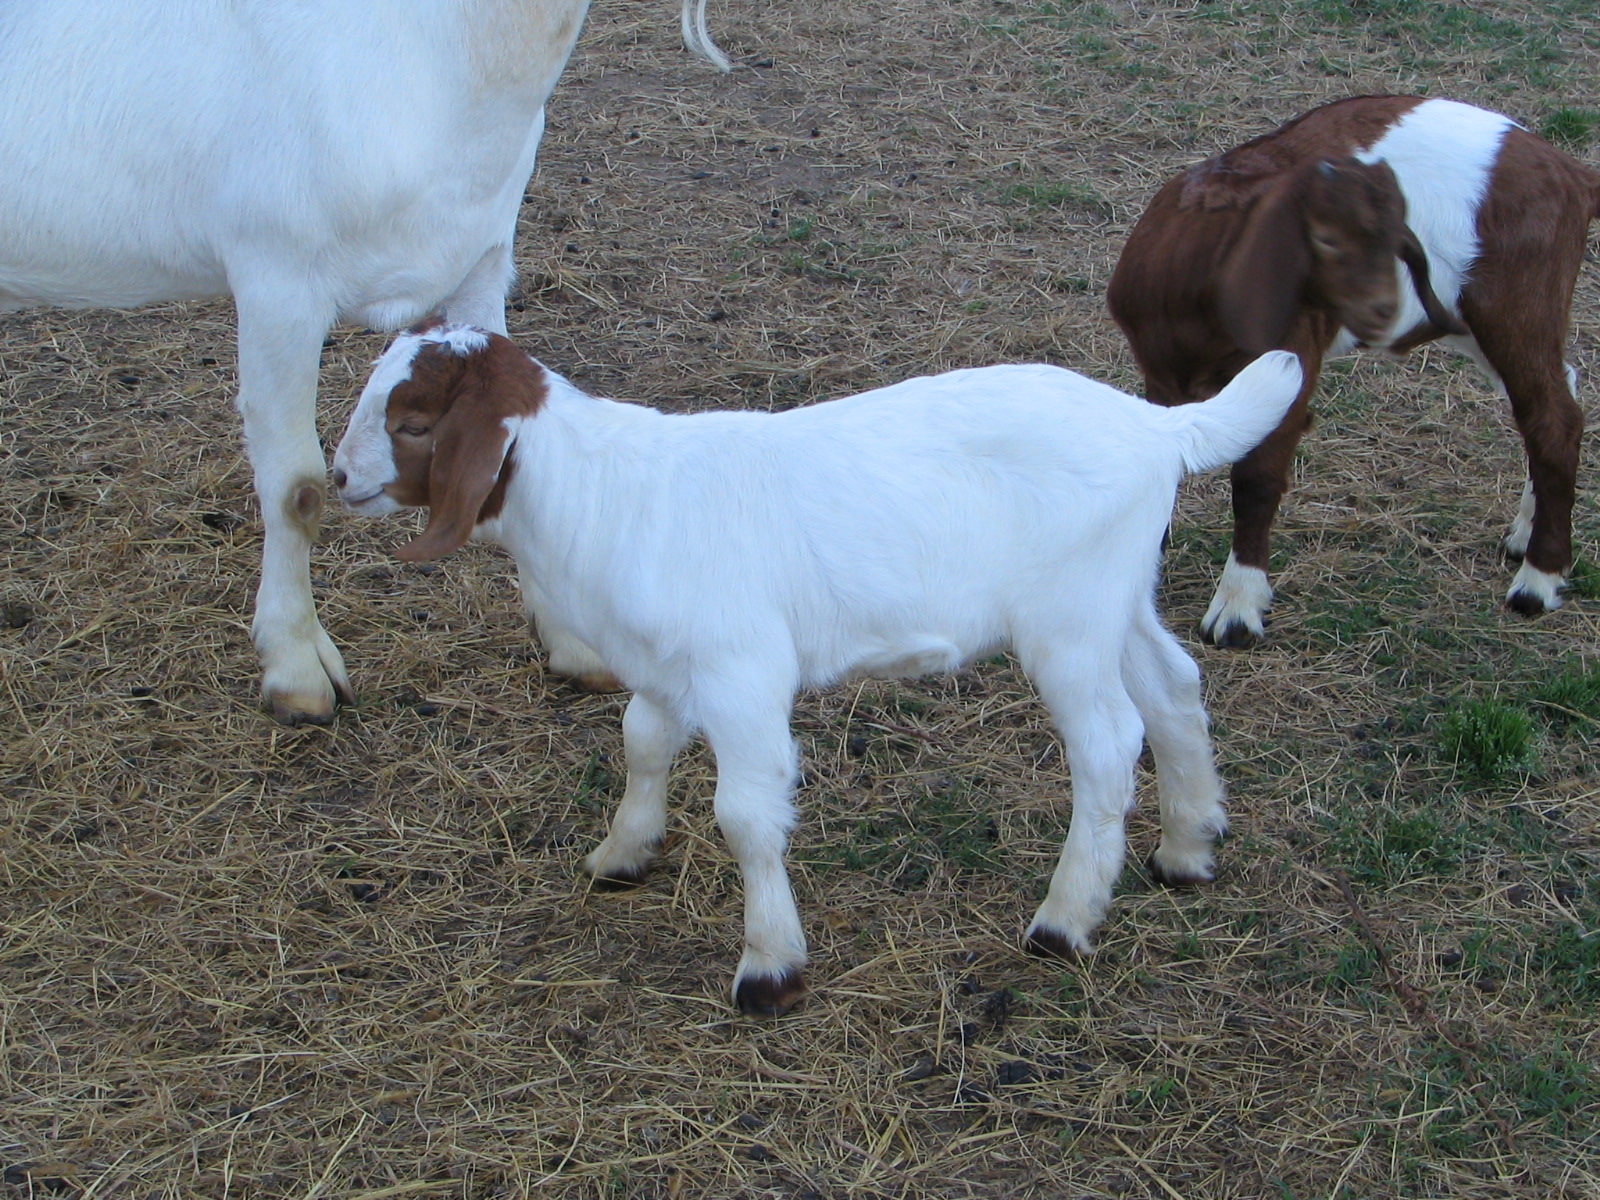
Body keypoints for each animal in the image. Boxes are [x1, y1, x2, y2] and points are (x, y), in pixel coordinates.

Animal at [331, 323, 1303, 1015]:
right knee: (1173, 688)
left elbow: (746, 816)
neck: (609, 496)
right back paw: (1188, 848)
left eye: (413, 424)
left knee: (1107, 742)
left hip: (1066, 617)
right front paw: (622, 852)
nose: (338, 477)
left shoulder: (741, 671)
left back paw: (1064, 921)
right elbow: (642, 741)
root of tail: (1159, 426)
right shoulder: (667, 668)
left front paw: (769, 966)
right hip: (1114, 597)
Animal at [1107, 95, 1600, 647]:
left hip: (1517, 296)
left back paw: (1538, 581)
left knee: (1552, 419)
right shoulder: (1161, 374)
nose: (1385, 309)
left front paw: (1237, 609)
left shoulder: (1289, 362)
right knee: (1557, 395)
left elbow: (1257, 481)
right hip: (1474, 320)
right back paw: (1525, 533)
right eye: (1324, 239)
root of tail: (1576, 175)